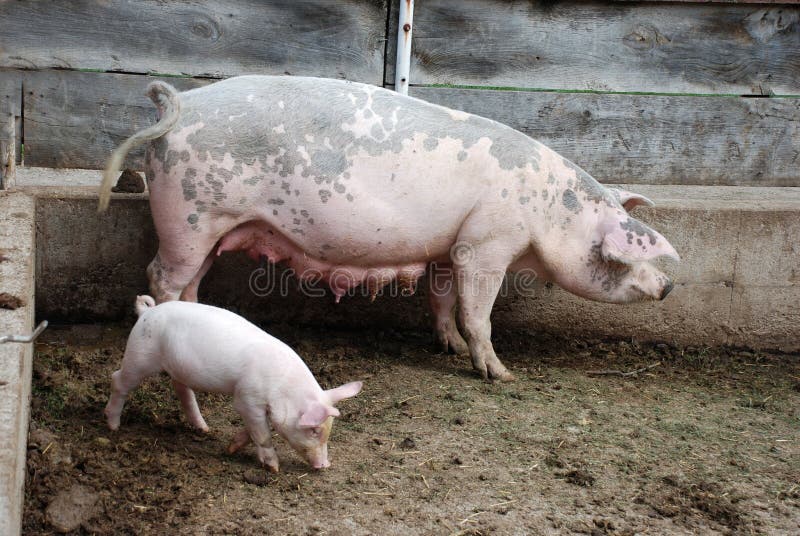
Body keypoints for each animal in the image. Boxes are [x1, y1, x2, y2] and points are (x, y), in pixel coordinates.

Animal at [98, 75, 679, 382]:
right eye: (628, 253)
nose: (671, 286)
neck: (550, 210)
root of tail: (180, 105)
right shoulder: (486, 243)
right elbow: (478, 312)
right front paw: (500, 374)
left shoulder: (450, 247)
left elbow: (443, 301)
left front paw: (447, 348)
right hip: (189, 217)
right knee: (162, 275)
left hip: (211, 229)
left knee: (192, 280)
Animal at [104, 295, 363, 471]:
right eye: (314, 430)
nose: (324, 465)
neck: (283, 389)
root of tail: (147, 311)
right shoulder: (247, 398)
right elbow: (261, 434)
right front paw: (273, 468)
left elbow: (253, 431)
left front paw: (230, 448)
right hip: (140, 355)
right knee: (118, 380)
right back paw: (113, 426)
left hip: (176, 368)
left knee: (182, 390)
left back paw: (204, 429)